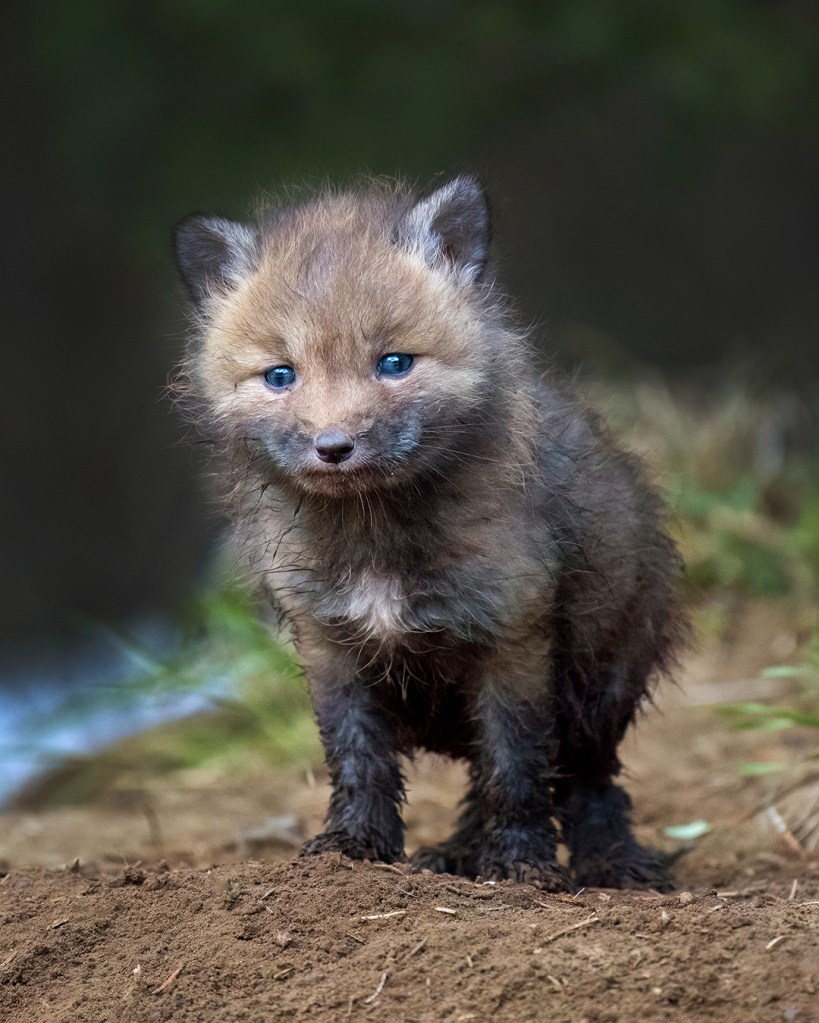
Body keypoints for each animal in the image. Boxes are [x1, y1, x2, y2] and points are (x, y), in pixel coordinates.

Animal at [173, 175, 684, 891]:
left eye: (394, 363)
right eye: (280, 375)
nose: (334, 448)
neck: (378, 540)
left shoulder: (512, 640)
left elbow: (516, 772)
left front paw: (519, 866)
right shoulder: (330, 645)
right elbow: (358, 762)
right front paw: (354, 846)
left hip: (598, 690)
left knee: (589, 781)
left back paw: (611, 863)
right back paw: (457, 854)